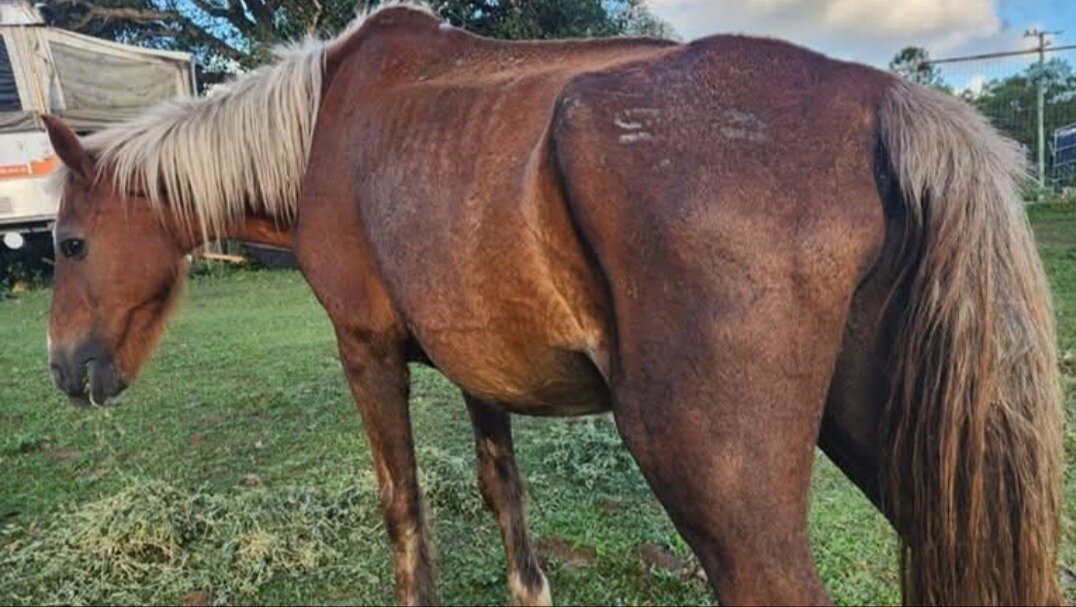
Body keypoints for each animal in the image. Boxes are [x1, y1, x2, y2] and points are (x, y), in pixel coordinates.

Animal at [42, 3, 1062, 605]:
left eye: (68, 242)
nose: (62, 368)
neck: (327, 126)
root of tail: (879, 98)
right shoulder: (476, 360)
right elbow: (503, 486)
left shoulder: (366, 350)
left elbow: (403, 506)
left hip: (722, 492)